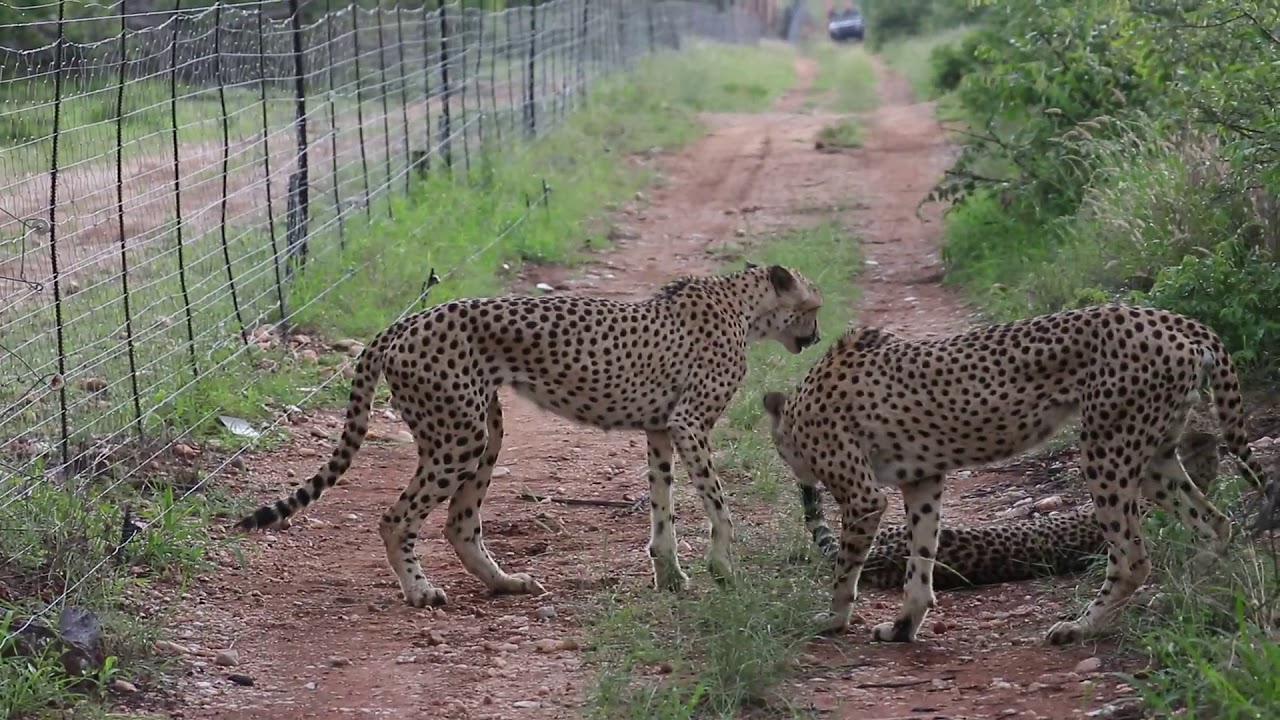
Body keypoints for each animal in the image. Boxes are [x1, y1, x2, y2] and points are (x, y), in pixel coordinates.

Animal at [235, 264, 824, 609]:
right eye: (814, 307)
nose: (817, 336)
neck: (741, 303)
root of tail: (406, 321)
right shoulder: (689, 423)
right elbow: (719, 504)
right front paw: (723, 567)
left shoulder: (660, 428)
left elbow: (664, 509)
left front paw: (671, 575)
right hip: (459, 435)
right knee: (396, 518)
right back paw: (421, 592)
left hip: (483, 432)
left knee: (459, 523)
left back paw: (505, 583)